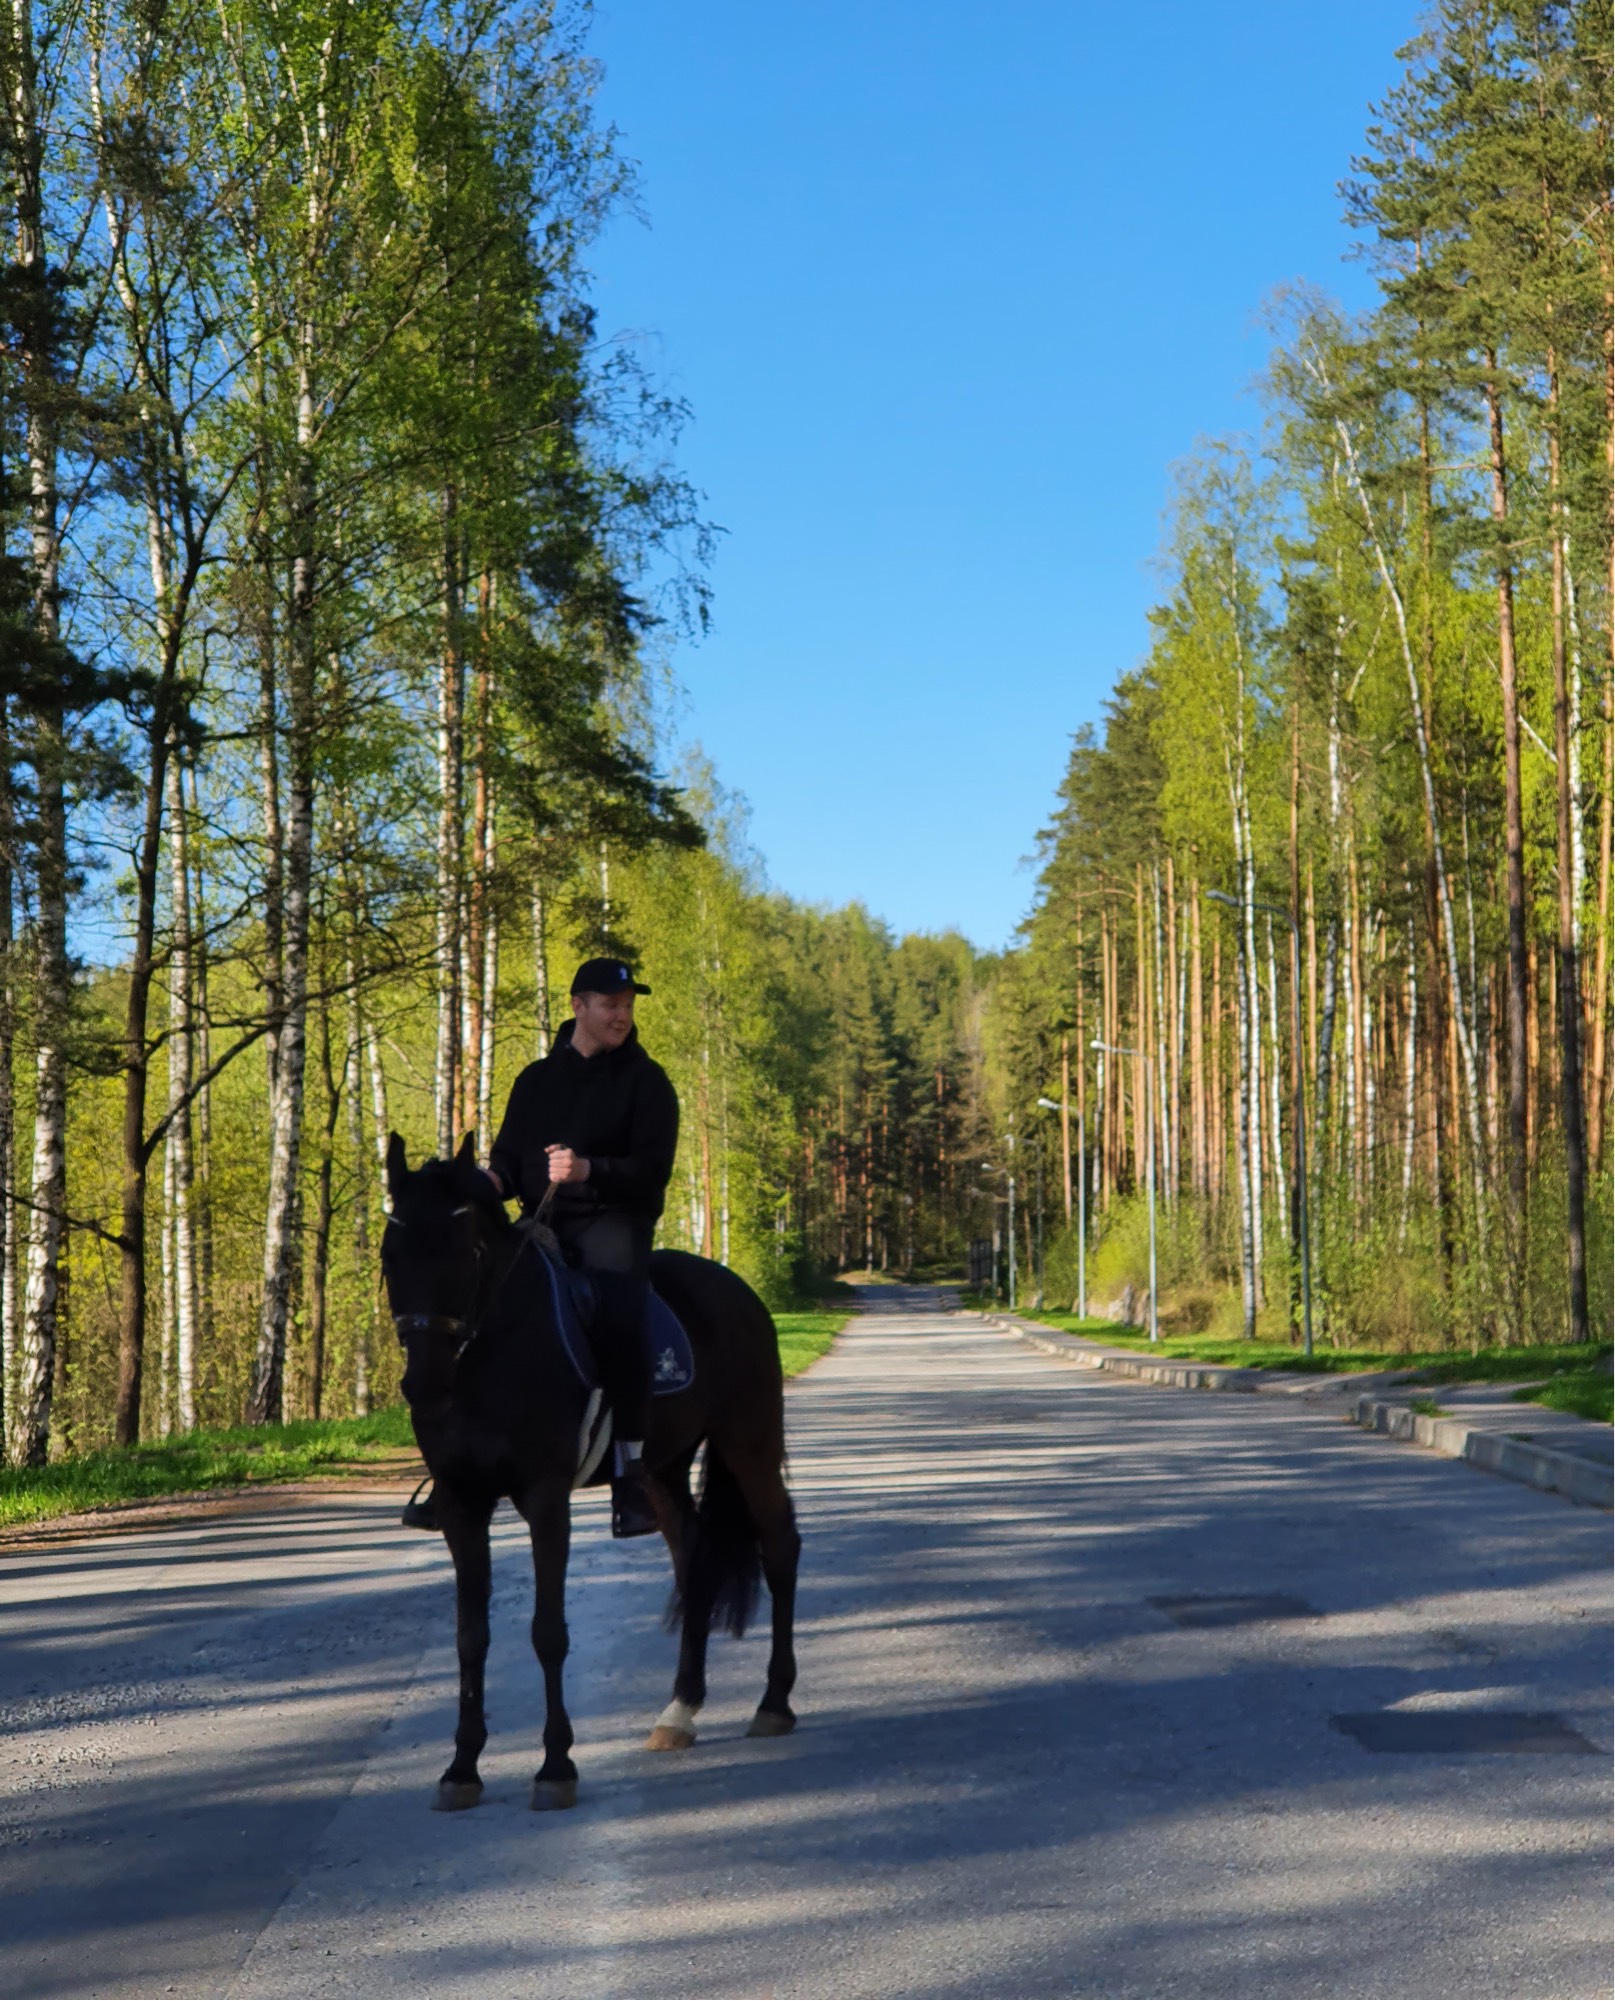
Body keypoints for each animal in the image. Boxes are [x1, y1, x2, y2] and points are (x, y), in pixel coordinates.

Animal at [380, 1144, 808, 1816]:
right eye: (388, 1255)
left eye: (468, 1251)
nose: (424, 1385)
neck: (489, 1357)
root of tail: (737, 1290)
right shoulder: (461, 1504)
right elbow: (471, 1637)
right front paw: (461, 1769)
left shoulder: (545, 1499)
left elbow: (548, 1633)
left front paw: (556, 1765)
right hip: (662, 1469)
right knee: (693, 1559)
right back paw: (679, 1711)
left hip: (750, 1444)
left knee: (780, 1547)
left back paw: (774, 1702)